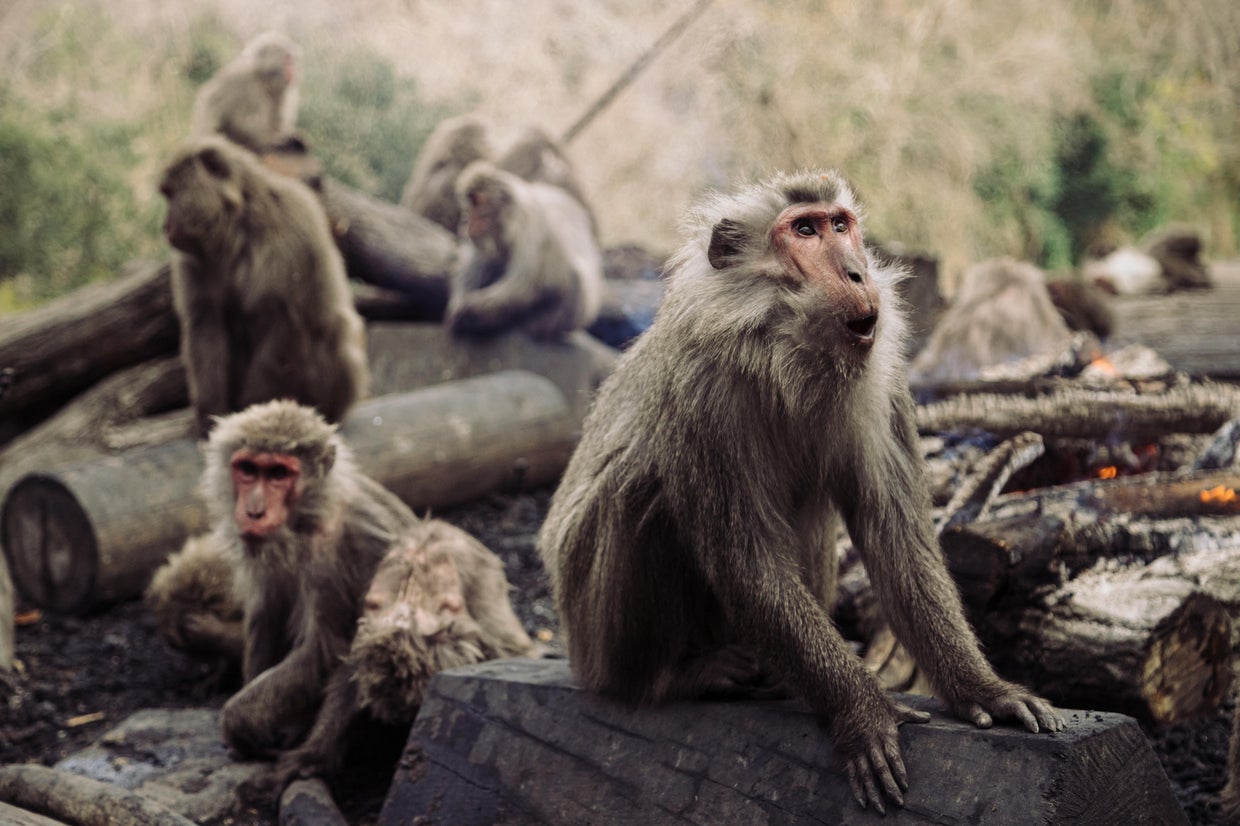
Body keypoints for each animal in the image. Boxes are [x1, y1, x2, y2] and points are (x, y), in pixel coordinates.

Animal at [159, 136, 369, 438]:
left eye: (172, 194)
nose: (164, 226)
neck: (235, 227)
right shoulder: (192, 259)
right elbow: (206, 323)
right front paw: (209, 414)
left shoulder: (291, 235)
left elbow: (283, 322)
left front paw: (253, 411)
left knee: (331, 329)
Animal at [448, 161, 603, 340]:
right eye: (469, 204)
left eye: (478, 203)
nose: (465, 220)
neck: (511, 225)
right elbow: (475, 265)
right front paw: (458, 302)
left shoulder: (531, 230)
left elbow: (527, 285)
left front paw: (469, 312)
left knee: (573, 277)